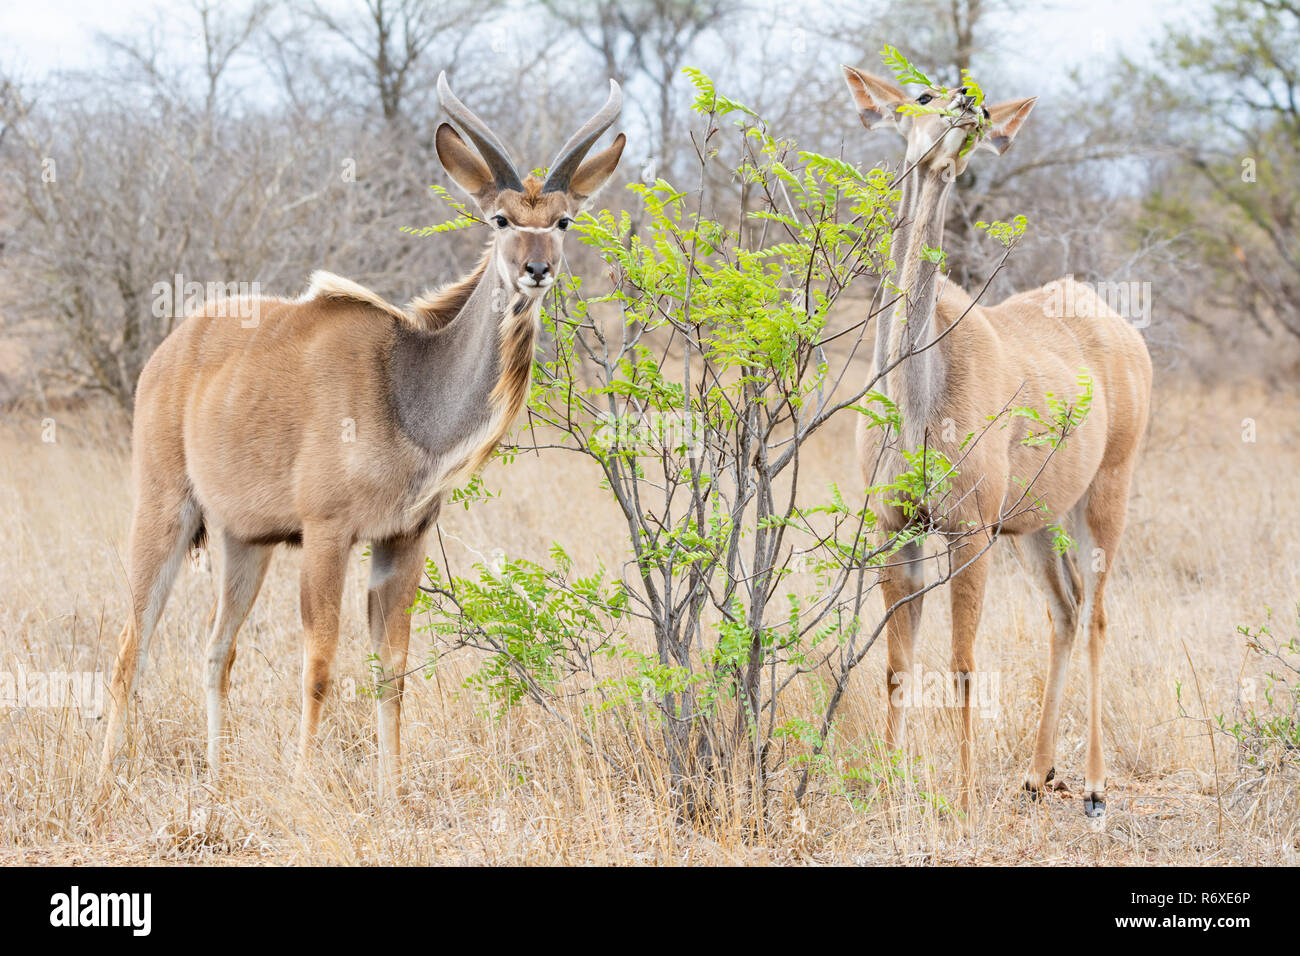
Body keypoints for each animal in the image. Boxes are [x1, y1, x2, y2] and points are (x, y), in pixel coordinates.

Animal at [96, 74, 626, 799]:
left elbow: (392, 671)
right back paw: (105, 780)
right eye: (500, 219)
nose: (537, 270)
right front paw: (302, 786)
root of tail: (168, 352)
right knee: (131, 648)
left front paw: (391, 794)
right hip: (164, 513)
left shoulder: (402, 540)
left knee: (215, 649)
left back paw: (218, 777)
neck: (403, 387)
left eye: (564, 220)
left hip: (242, 542)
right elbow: (319, 665)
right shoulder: (327, 534)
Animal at [842, 66, 1151, 817]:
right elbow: (897, 665)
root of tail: (1125, 332)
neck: (916, 399)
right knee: (1065, 609)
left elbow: (961, 664)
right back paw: (1036, 776)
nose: (972, 104)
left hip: (1106, 495)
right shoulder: (896, 529)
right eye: (920, 96)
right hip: (1037, 525)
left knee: (1098, 614)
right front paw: (890, 784)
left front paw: (959, 794)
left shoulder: (969, 530)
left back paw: (1094, 787)